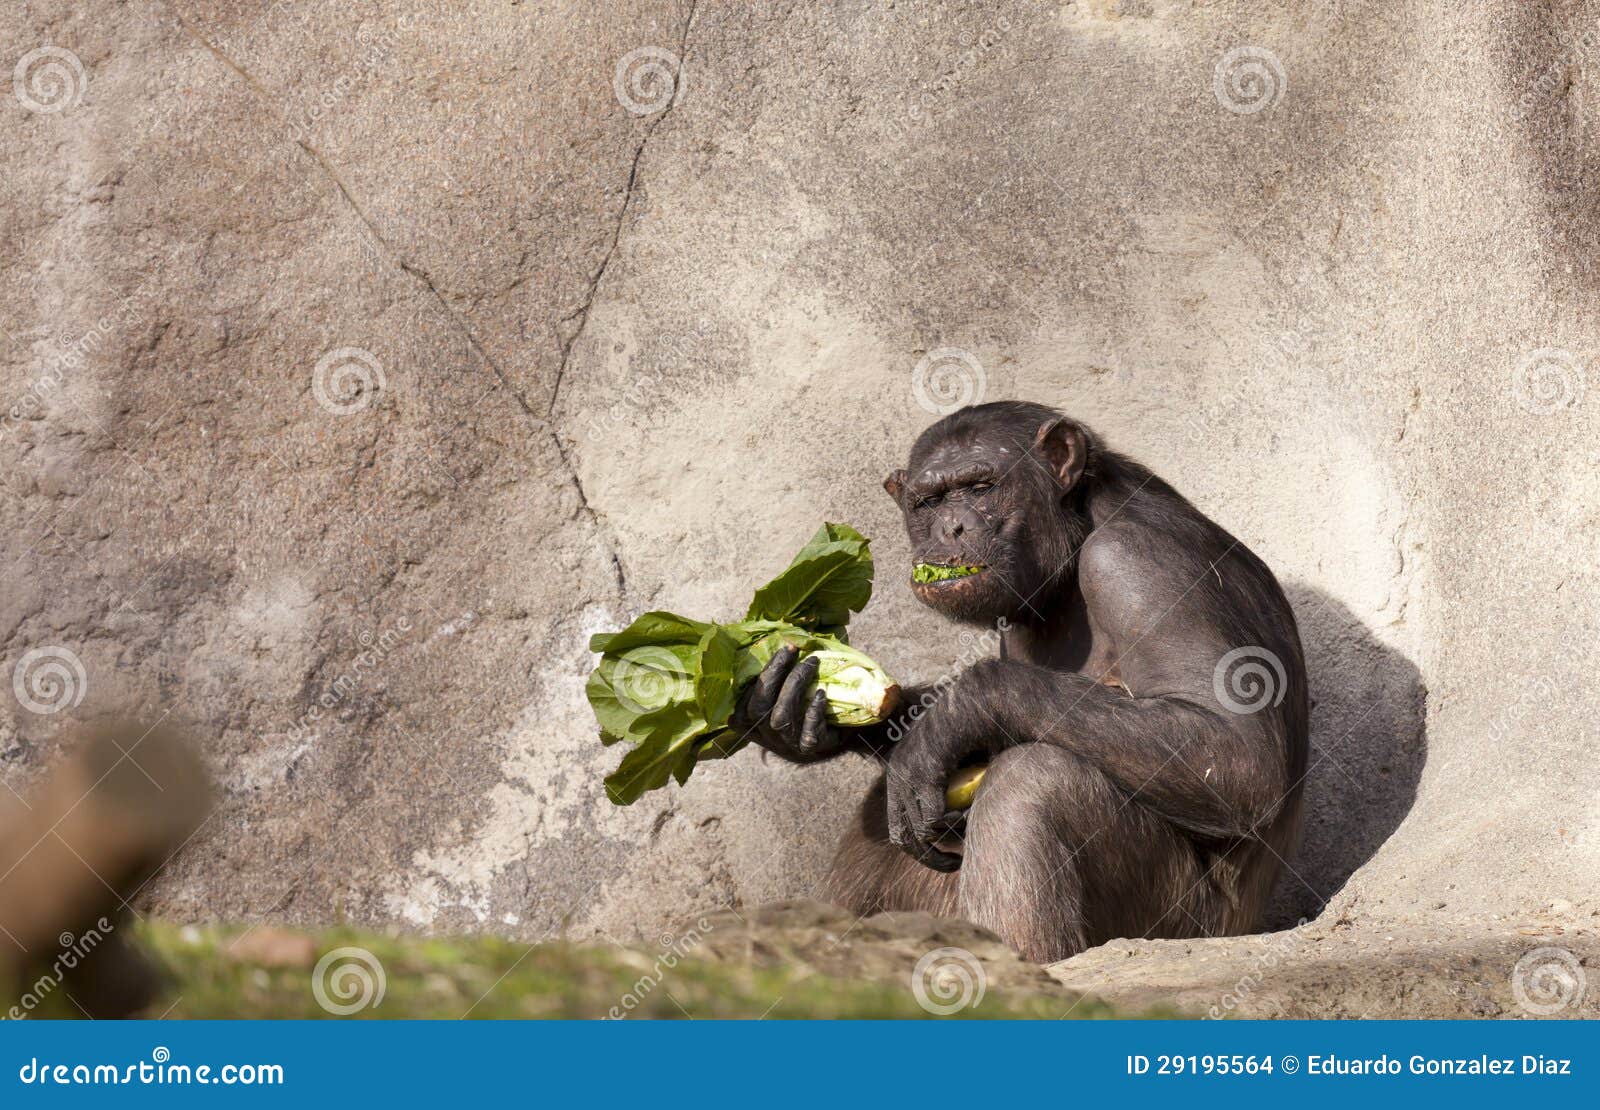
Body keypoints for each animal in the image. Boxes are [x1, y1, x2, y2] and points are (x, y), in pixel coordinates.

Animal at [730, 401, 1308, 963]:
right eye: (929, 502)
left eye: (981, 488)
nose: (950, 528)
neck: (1075, 540)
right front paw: (787, 710)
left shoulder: (1138, 566)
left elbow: (1236, 754)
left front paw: (959, 710)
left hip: (1173, 923)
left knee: (1031, 783)